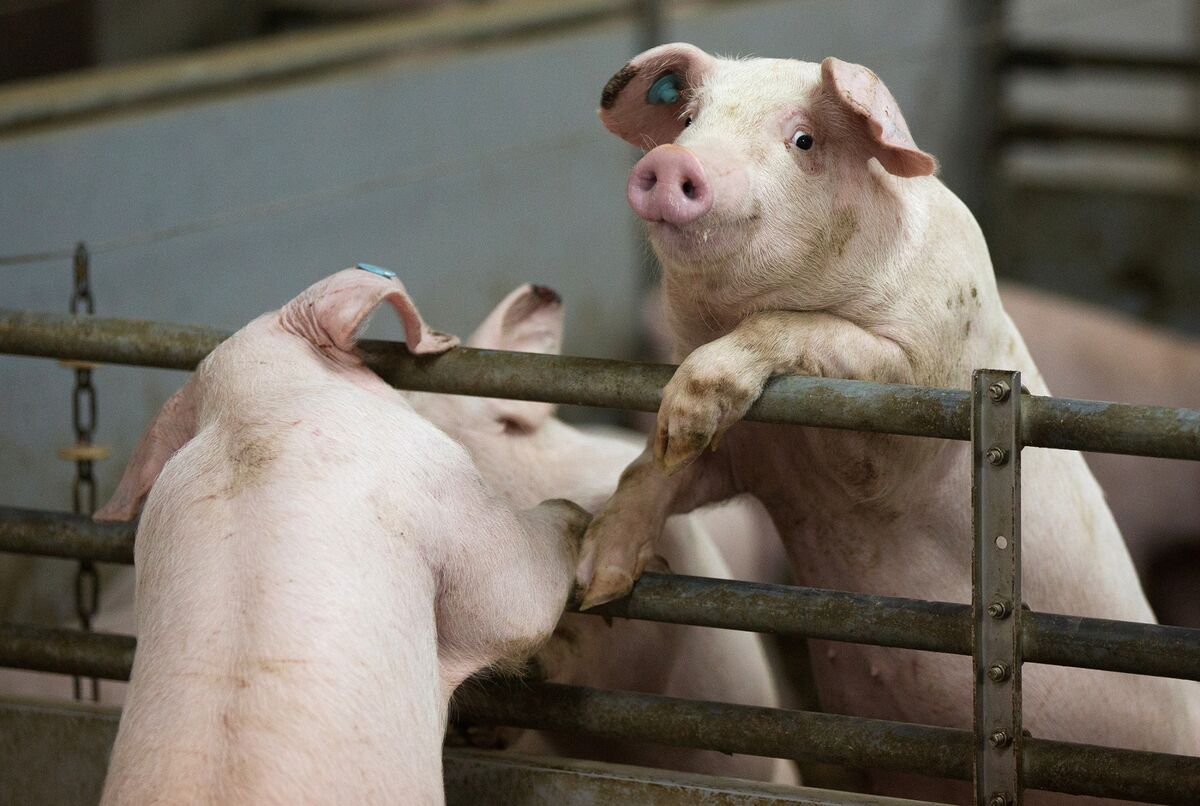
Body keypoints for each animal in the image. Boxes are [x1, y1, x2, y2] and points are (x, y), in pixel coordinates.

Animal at [576, 44, 1200, 803]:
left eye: (804, 140)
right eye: (691, 119)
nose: (672, 162)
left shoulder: (917, 390)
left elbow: (795, 329)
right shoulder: (752, 456)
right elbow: (657, 468)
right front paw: (596, 580)